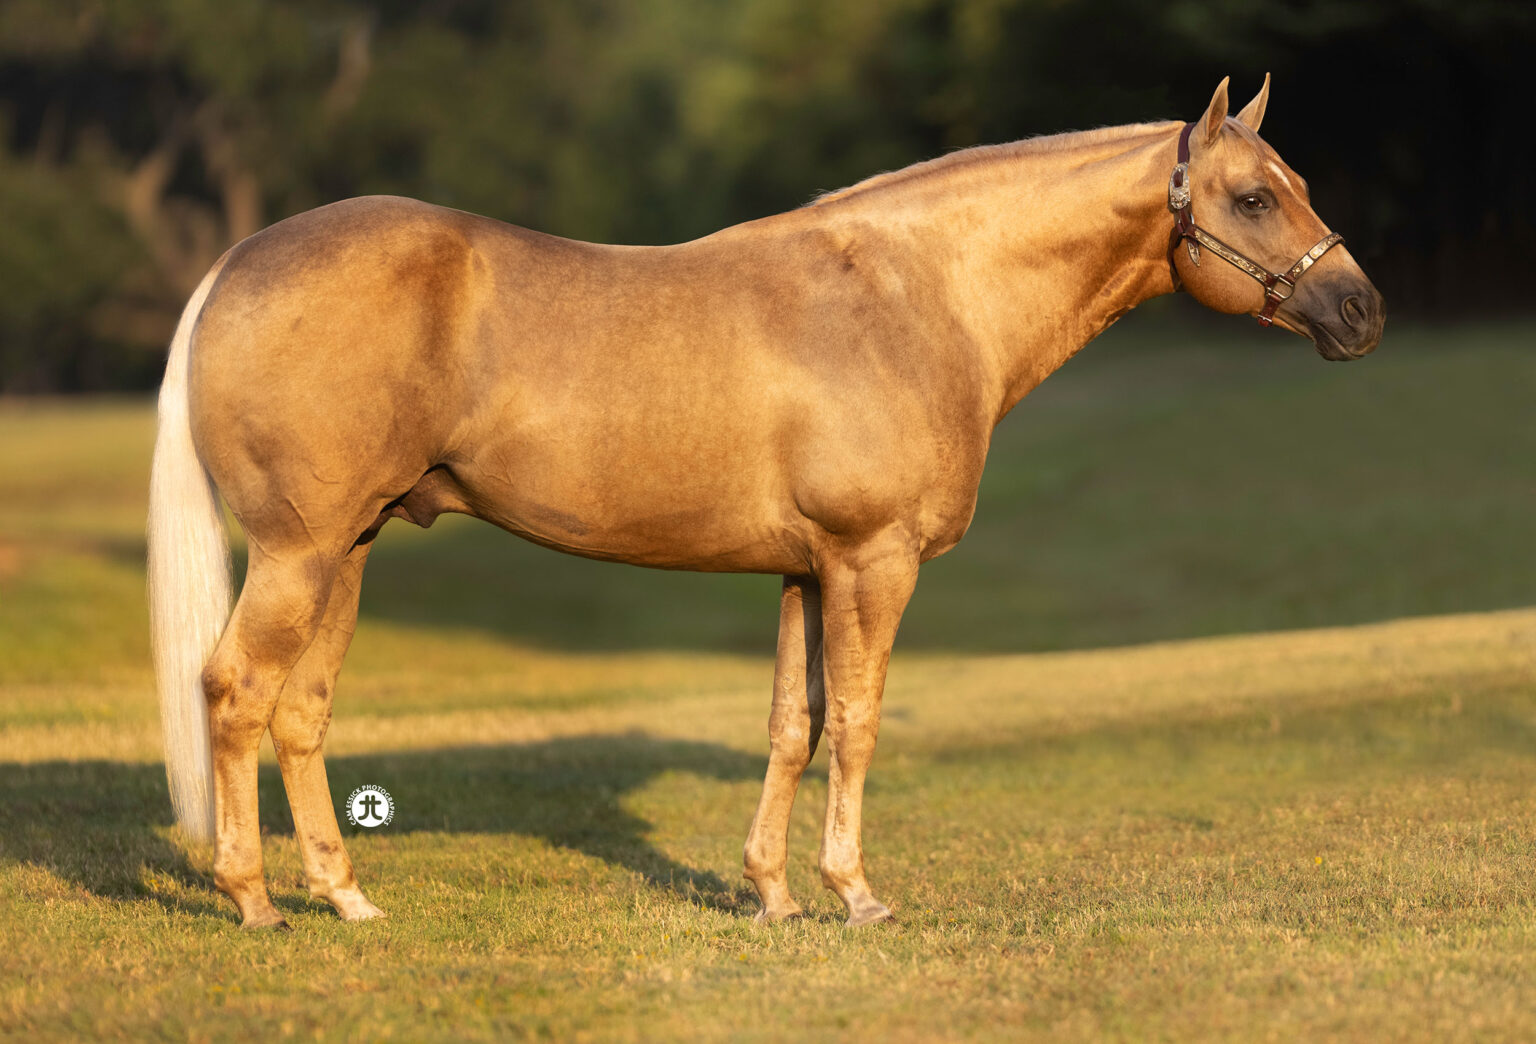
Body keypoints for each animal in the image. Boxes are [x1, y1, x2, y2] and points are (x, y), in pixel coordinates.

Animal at [148, 75, 1384, 929]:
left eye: (1296, 187)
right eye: (1253, 196)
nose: (1361, 310)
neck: (914, 296)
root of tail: (234, 264)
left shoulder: (805, 569)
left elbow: (797, 723)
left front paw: (774, 894)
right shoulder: (873, 561)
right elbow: (863, 721)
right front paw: (855, 894)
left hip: (349, 551)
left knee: (301, 712)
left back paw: (345, 897)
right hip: (299, 554)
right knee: (236, 692)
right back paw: (252, 899)